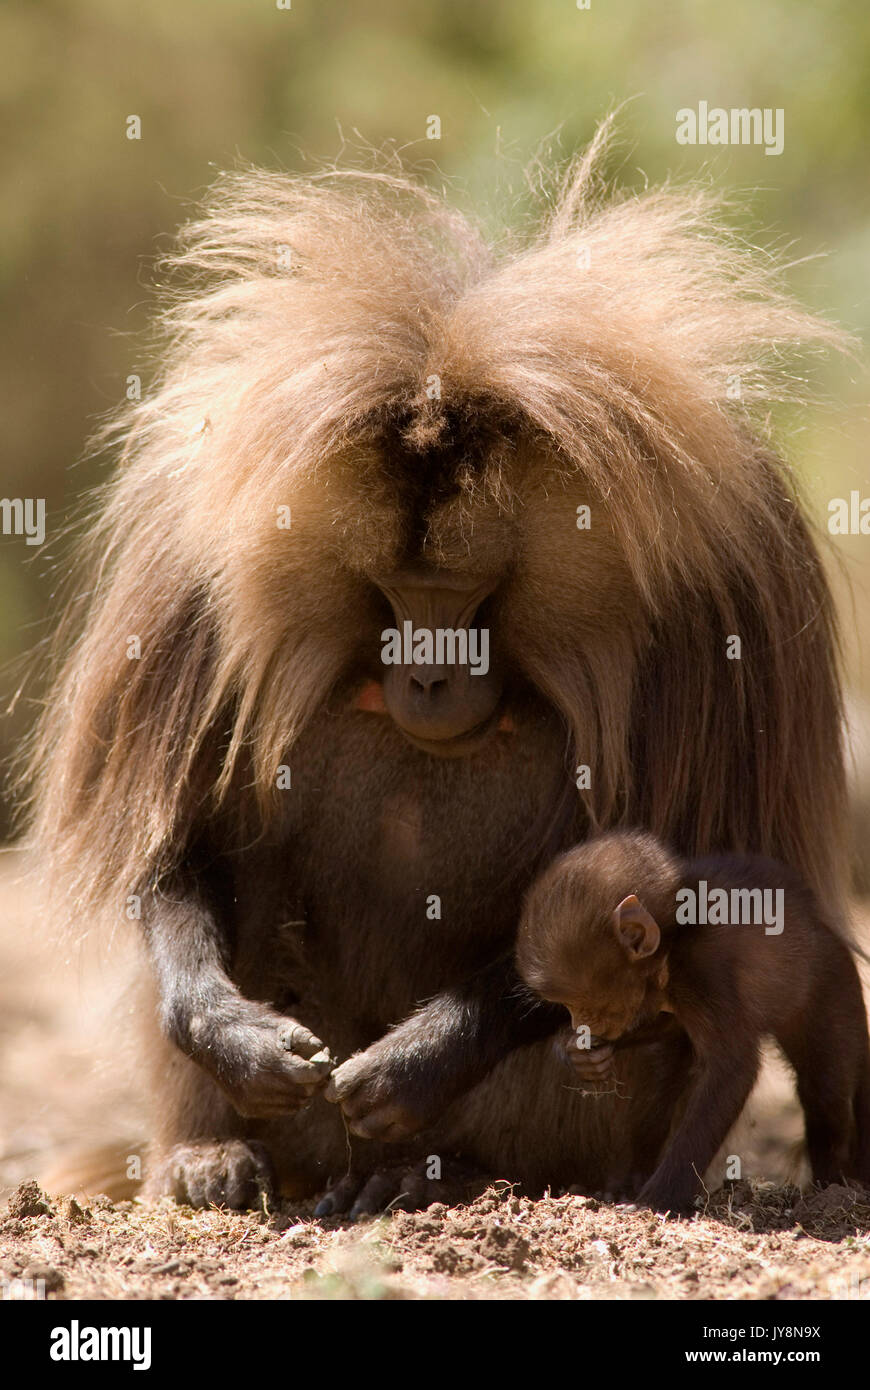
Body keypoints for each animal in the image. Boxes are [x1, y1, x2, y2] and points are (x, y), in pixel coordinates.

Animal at [515, 831, 870, 1212]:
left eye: (584, 1004)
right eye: (567, 1007)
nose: (582, 1026)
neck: (673, 944)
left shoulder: (705, 972)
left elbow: (732, 1070)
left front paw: (657, 1199)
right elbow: (665, 1030)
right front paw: (578, 1053)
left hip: (832, 993)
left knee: (825, 1091)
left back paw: (833, 1188)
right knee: (663, 1070)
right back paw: (626, 1181)